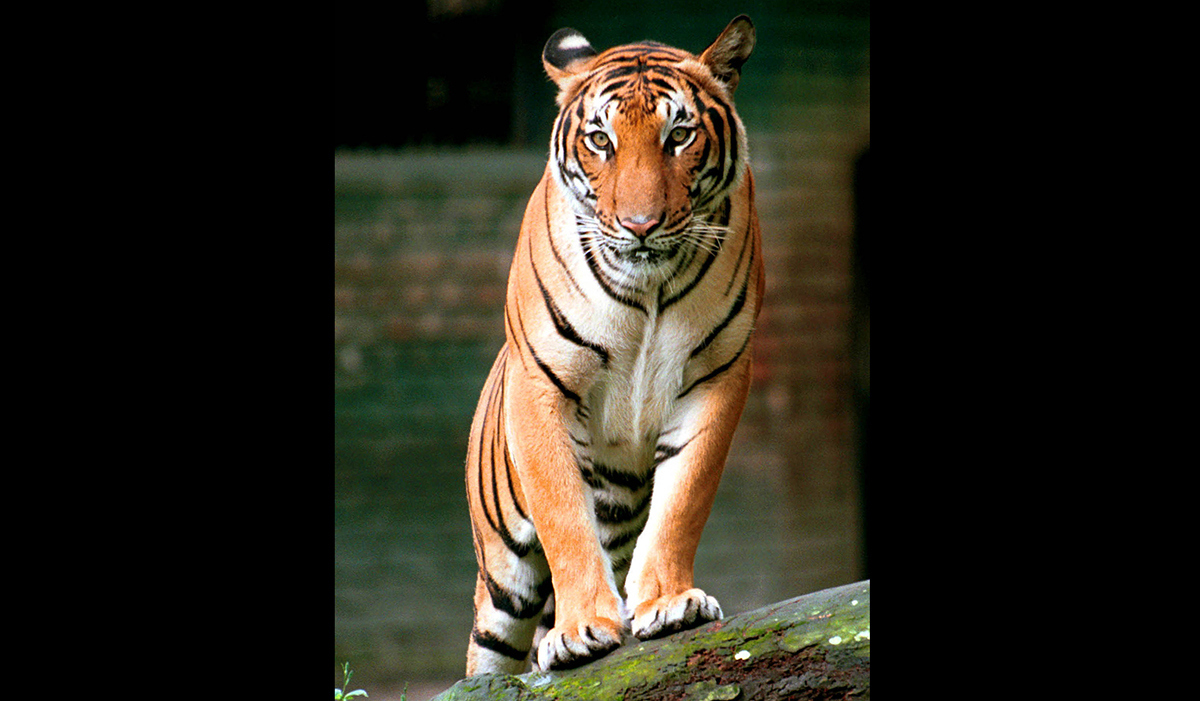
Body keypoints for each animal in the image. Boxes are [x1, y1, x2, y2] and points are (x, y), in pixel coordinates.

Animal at [465, 15, 762, 675]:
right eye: (601, 140)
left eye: (679, 135)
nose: (640, 226)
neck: (649, 284)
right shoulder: (541, 384)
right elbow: (563, 514)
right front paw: (582, 630)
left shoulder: (718, 377)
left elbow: (683, 500)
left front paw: (669, 603)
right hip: (500, 578)